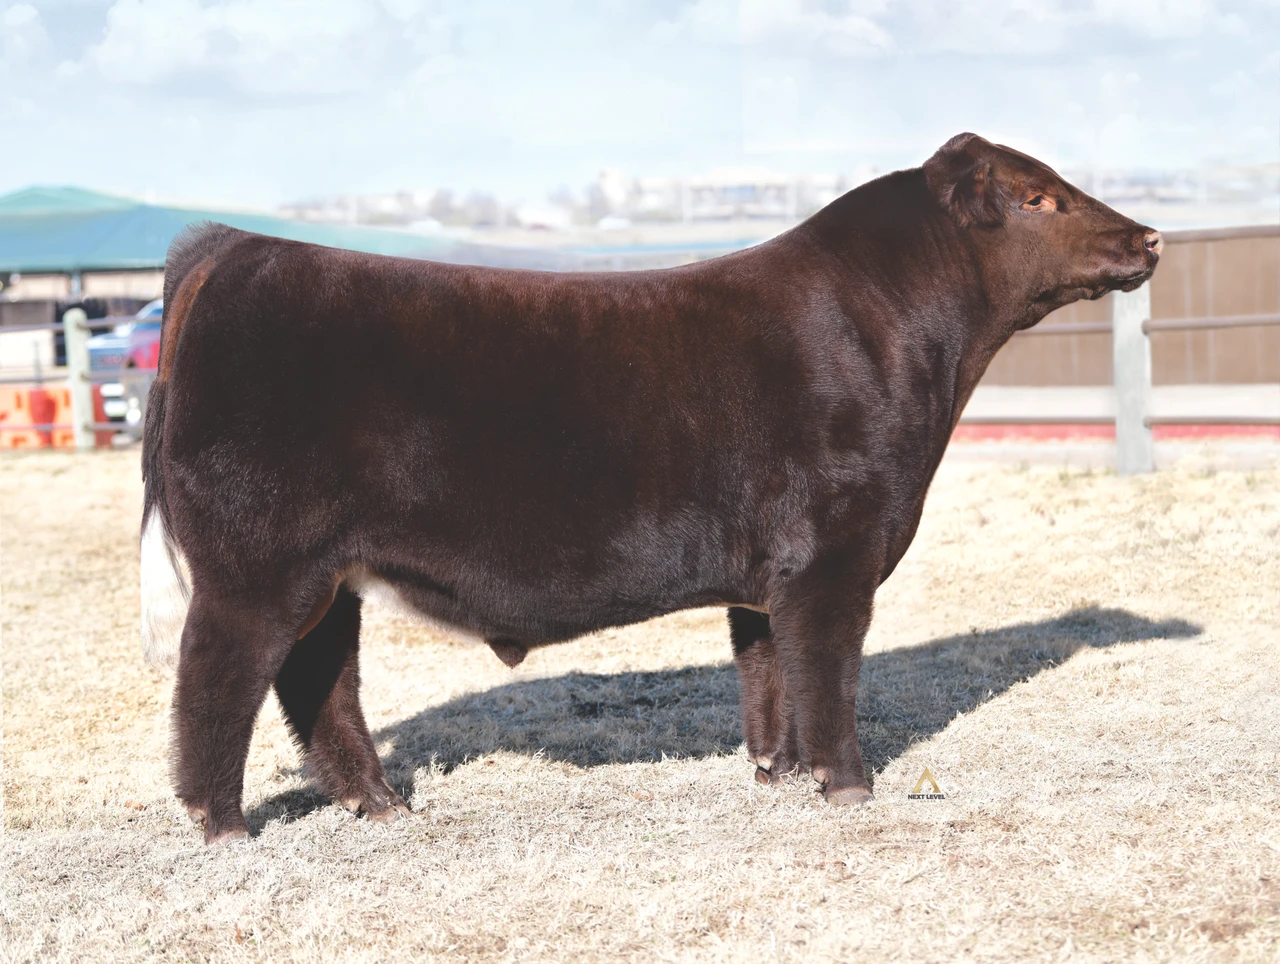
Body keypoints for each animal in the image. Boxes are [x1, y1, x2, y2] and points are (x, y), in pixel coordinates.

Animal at [140, 133, 1162, 843]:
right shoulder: (838, 547)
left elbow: (771, 673)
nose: (1149, 236)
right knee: (218, 679)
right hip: (255, 567)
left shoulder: (773, 572)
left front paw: (778, 773)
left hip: (325, 575)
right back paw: (223, 825)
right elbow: (829, 669)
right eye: (1038, 197)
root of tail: (234, 250)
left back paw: (382, 804)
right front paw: (848, 785)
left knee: (318, 681)